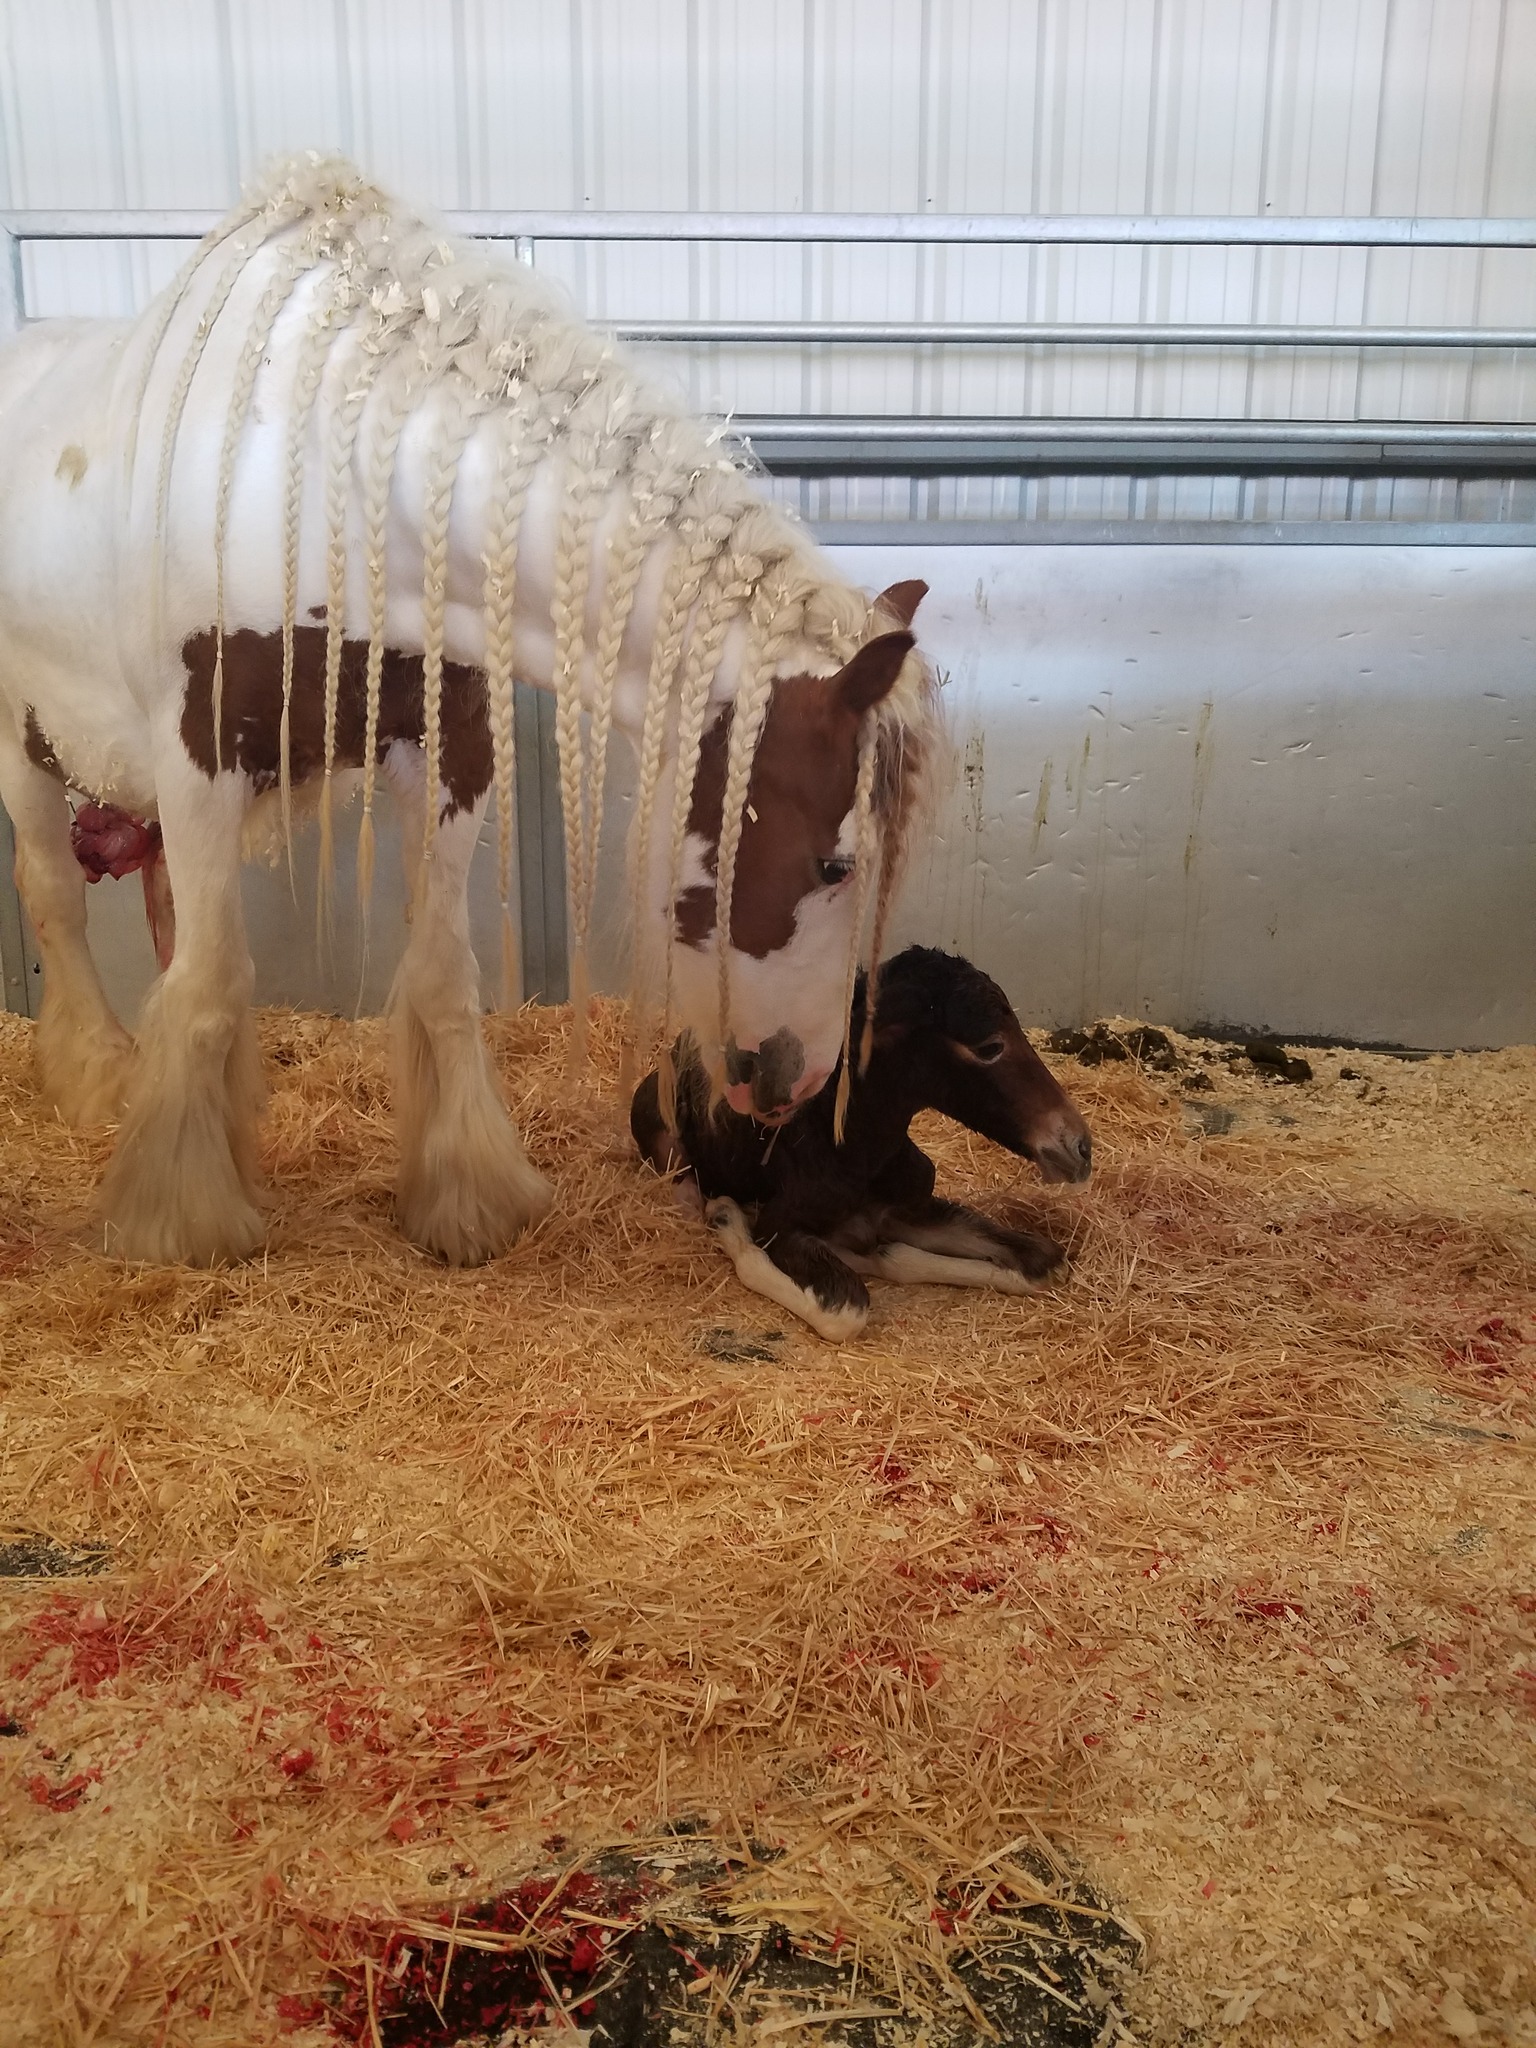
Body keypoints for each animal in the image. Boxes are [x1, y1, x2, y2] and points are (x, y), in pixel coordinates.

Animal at [0, 155, 937, 1268]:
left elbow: (441, 974)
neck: (329, 477)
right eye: (837, 865)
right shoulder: (198, 761)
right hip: (28, 753)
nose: (798, 1079)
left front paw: (467, 1199)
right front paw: (179, 1219)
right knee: (57, 897)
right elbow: (211, 980)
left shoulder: (449, 753)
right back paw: (98, 1081)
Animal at [631, 947, 1092, 1339]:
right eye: (990, 1046)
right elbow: (844, 1312)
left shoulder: (912, 1207)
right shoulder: (781, 1227)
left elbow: (1043, 1261)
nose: (1080, 1147)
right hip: (665, 1145)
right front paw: (726, 1218)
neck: (858, 1148)